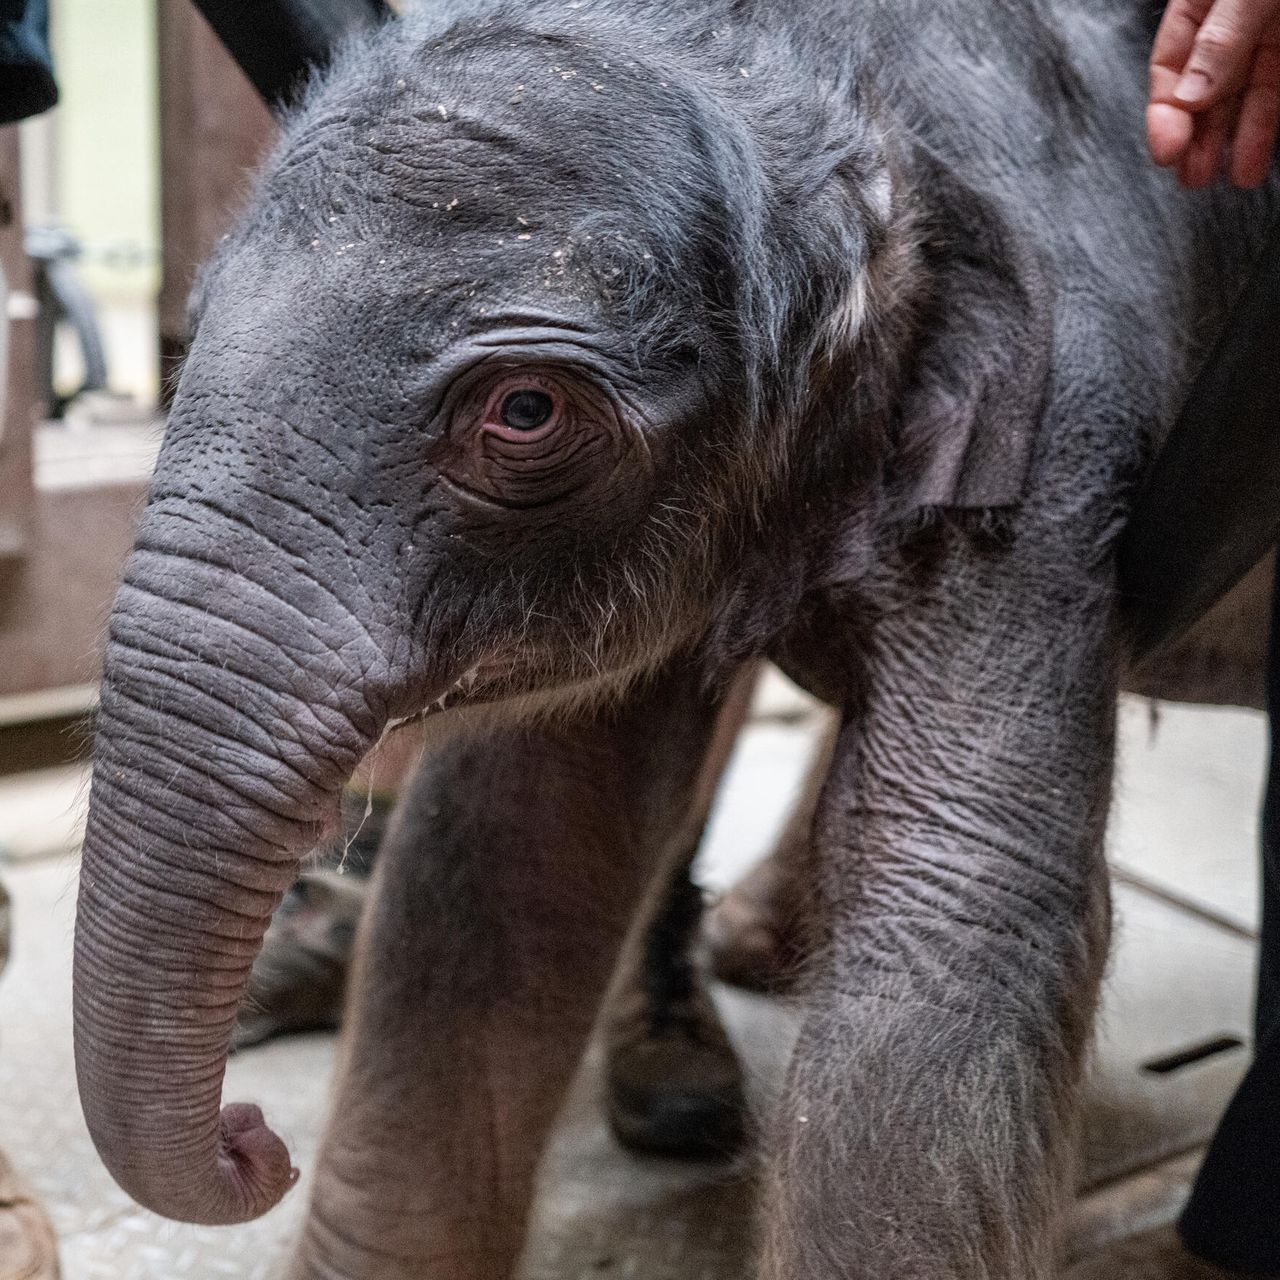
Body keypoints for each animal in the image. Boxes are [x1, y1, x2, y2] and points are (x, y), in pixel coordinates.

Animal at [72, 0, 1280, 1276]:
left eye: (525, 411)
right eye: (192, 332)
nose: (254, 1135)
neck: (862, 91)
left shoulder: (1054, 444)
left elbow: (950, 917)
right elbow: (506, 850)